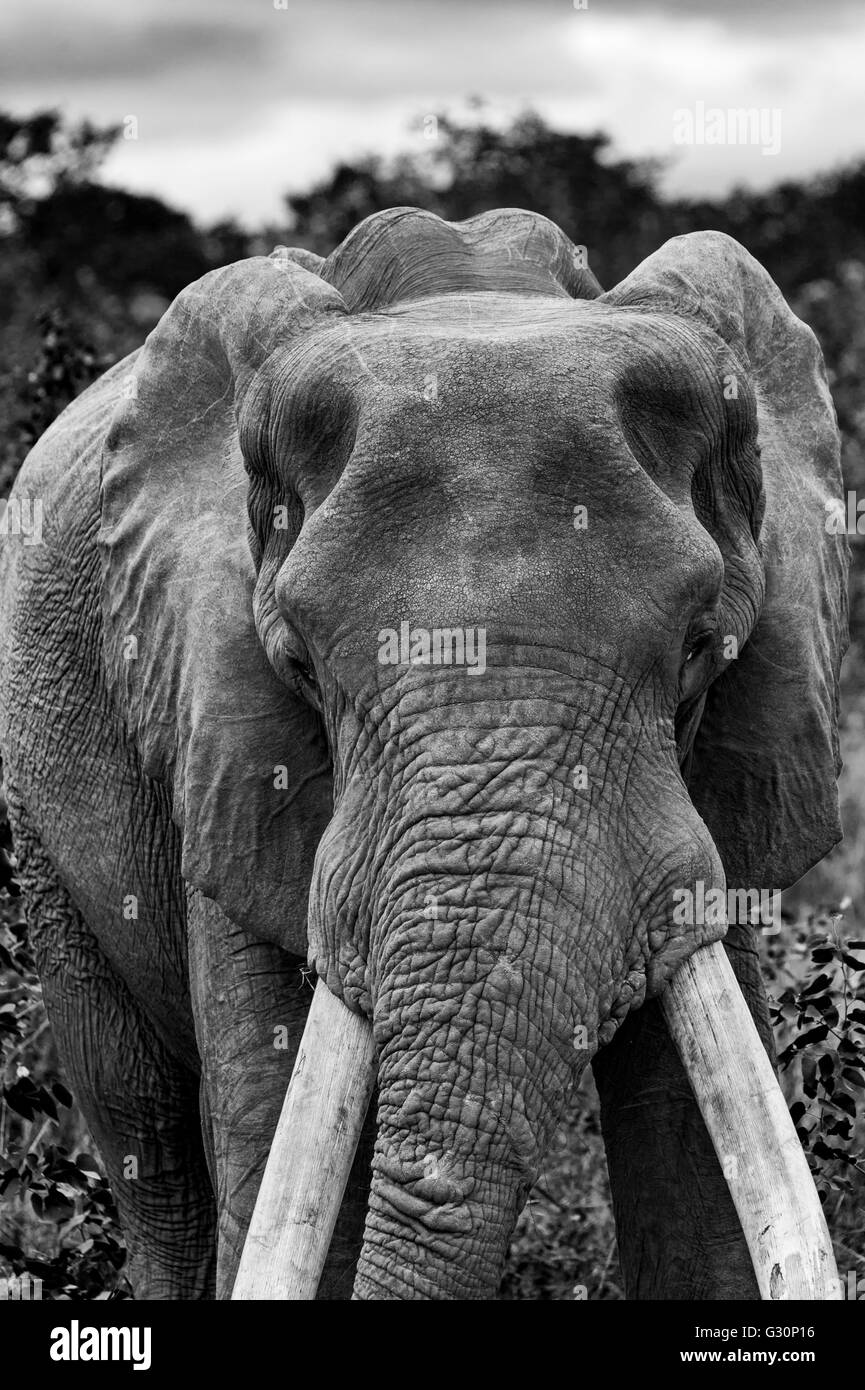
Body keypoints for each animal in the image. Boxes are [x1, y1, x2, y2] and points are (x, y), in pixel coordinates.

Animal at [0, 206, 849, 1301]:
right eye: (296, 660)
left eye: (702, 650)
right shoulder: (226, 733)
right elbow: (274, 1125)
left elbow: (692, 1171)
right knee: (141, 1127)